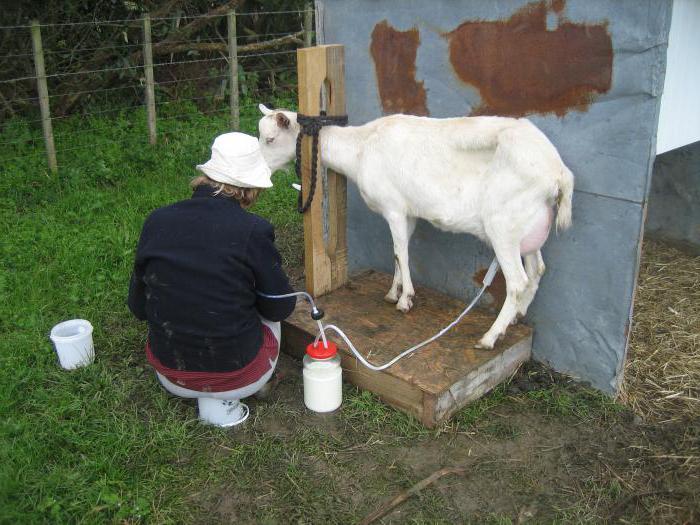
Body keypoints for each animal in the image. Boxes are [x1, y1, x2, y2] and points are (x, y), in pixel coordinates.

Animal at [258, 104, 576, 348]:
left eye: (270, 138)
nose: (262, 172)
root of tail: (559, 173)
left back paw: (490, 336)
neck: (362, 147)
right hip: (529, 227)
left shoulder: (394, 209)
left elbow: (401, 252)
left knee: (518, 281)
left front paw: (405, 300)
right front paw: (393, 292)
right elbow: (399, 252)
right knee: (537, 270)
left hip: (504, 226)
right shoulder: (408, 214)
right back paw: (516, 317)